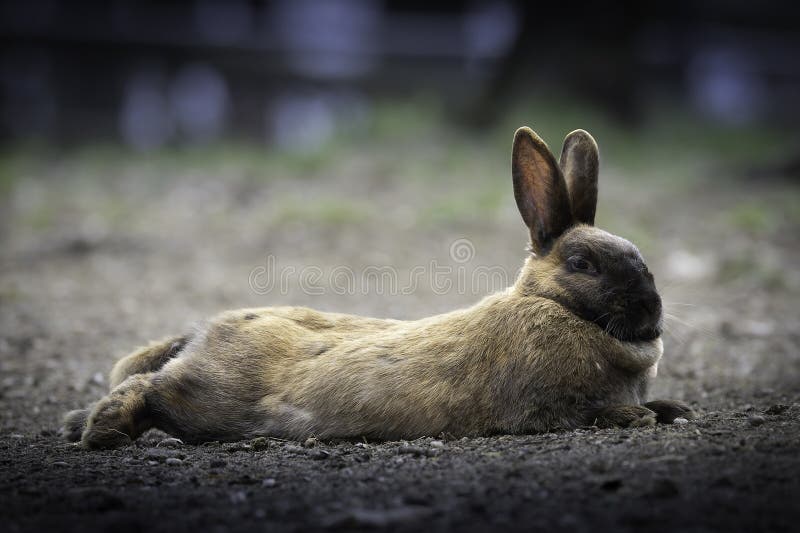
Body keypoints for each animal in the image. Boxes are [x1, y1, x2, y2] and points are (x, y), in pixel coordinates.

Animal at [62, 126, 694, 449]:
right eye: (583, 263)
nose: (651, 309)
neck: (553, 305)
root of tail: (202, 335)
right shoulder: (547, 405)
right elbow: (589, 414)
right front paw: (640, 419)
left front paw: (675, 409)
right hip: (209, 398)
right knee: (147, 387)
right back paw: (102, 431)